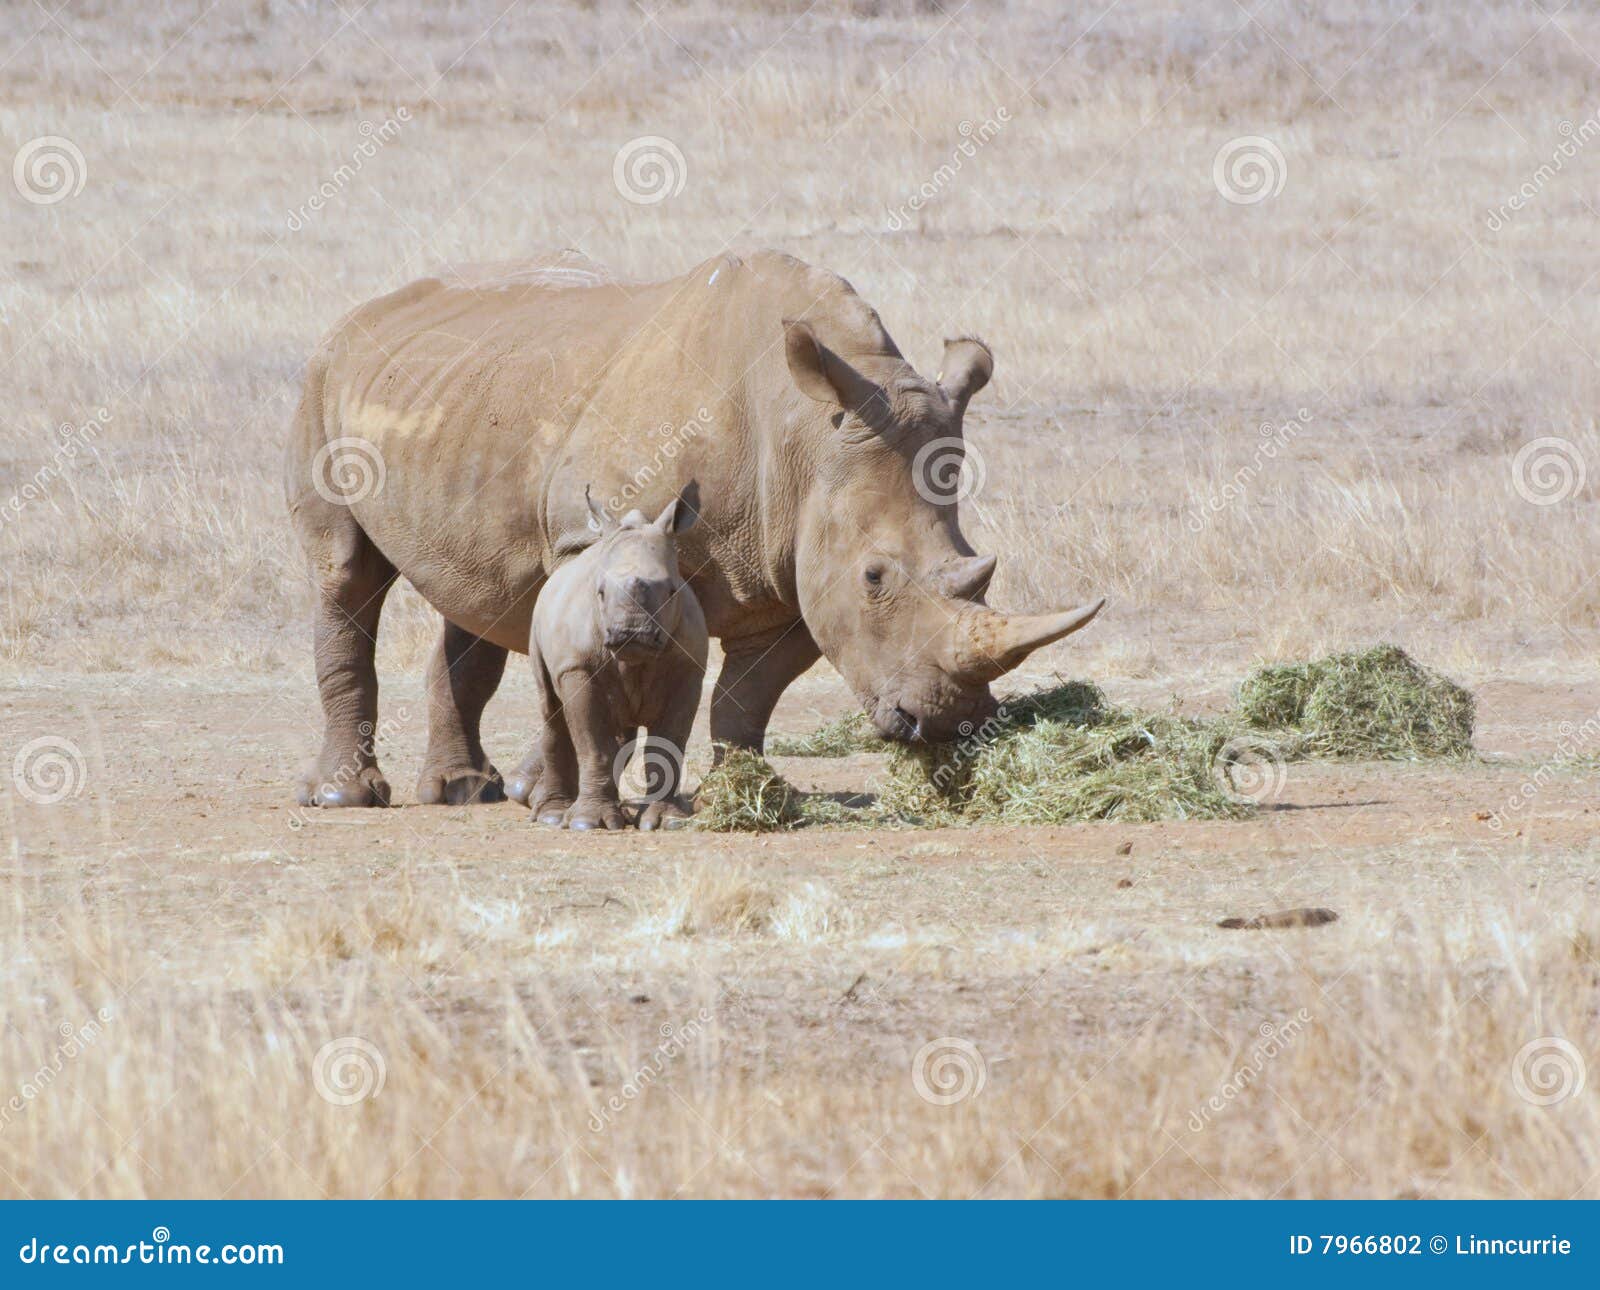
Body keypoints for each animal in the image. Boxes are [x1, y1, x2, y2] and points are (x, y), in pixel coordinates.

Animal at [284, 250, 1103, 809]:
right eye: (874, 579)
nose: (949, 724)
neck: (804, 434)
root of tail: (358, 316)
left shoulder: (793, 566)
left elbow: (749, 694)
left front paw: (746, 792)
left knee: (484, 591)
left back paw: (469, 790)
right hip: (321, 380)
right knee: (345, 575)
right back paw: (346, 797)